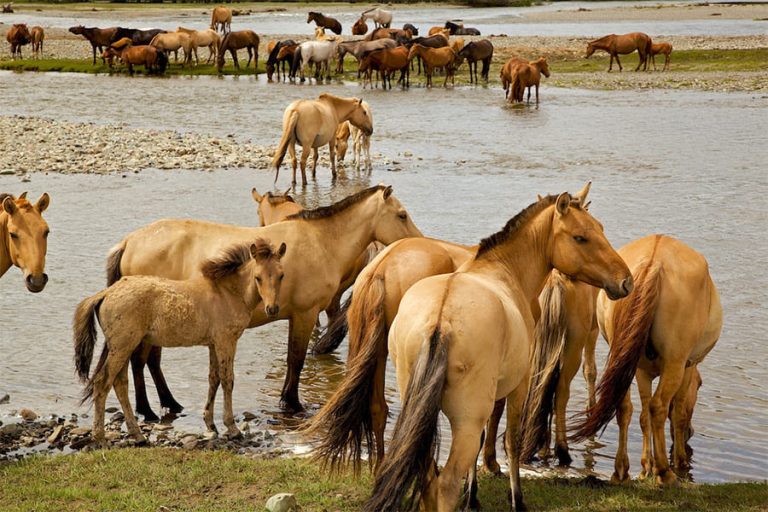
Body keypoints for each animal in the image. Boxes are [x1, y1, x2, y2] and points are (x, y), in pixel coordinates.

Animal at [74, 240, 286, 446]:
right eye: (258, 277)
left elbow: (214, 378)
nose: (272, 308)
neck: (228, 293)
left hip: (124, 346)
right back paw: (100, 437)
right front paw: (232, 428)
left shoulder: (213, 344)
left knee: (120, 383)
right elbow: (227, 380)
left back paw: (137, 434)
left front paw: (210, 423)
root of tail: (105, 293)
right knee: (102, 383)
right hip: (122, 346)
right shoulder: (226, 341)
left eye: (281, 275)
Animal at [107, 185, 423, 417]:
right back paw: (148, 410)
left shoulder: (298, 316)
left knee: (149, 362)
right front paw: (292, 404)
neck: (321, 242)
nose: (418, 240)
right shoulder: (306, 314)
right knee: (140, 360)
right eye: (402, 215)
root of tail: (130, 241)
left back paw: (168, 404)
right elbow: (296, 360)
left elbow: (293, 359)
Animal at [365, 189, 632, 512]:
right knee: (445, 483)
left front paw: (473, 496)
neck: (503, 271)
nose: (626, 281)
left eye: (600, 229)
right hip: (466, 419)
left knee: (429, 477)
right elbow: (512, 443)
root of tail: (440, 319)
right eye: (581, 237)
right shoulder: (519, 386)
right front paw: (516, 499)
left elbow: (484, 441)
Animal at [570, 235, 722, 486]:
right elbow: (677, 413)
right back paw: (665, 472)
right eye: (699, 386)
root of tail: (653, 262)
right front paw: (678, 463)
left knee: (624, 407)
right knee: (659, 406)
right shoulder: (688, 366)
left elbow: (642, 417)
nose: (690, 434)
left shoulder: (641, 370)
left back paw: (621, 471)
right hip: (675, 363)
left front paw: (645, 467)